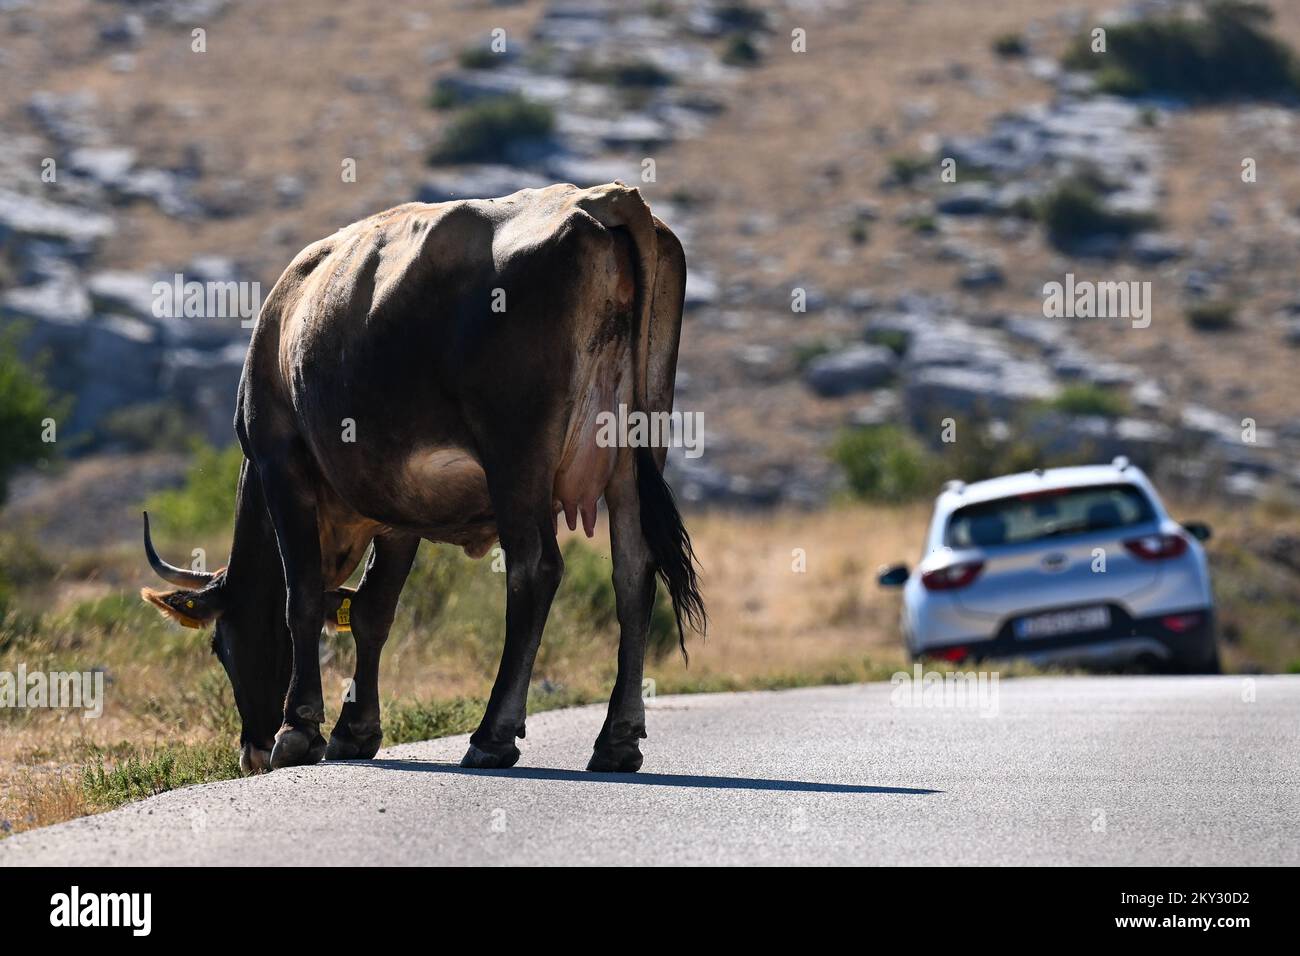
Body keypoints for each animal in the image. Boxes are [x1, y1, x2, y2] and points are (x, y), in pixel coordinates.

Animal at [141, 182, 704, 774]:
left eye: (221, 646)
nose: (249, 750)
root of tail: (600, 199)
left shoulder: (281, 462)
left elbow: (303, 596)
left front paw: (298, 730)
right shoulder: (396, 505)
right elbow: (372, 610)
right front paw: (355, 730)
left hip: (516, 455)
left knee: (536, 569)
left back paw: (492, 734)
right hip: (634, 455)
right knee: (633, 573)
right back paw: (617, 739)